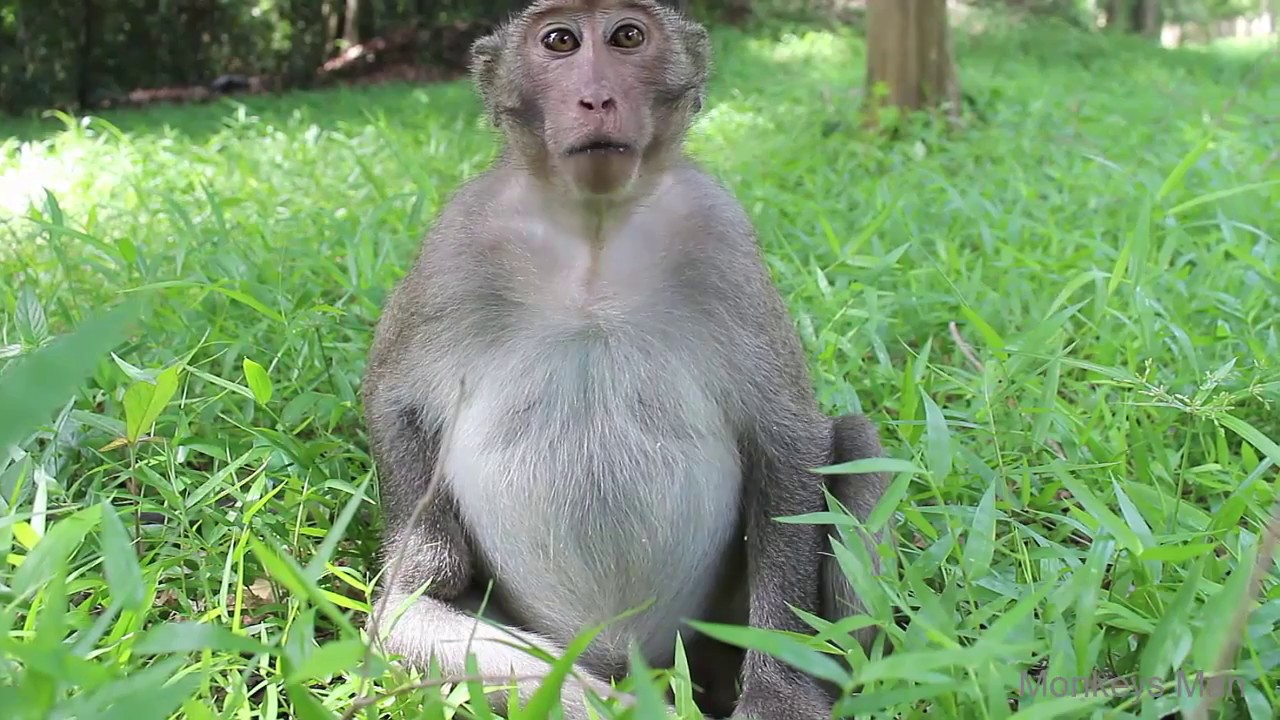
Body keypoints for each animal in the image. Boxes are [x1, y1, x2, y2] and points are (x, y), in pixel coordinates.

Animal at [360, 1, 889, 718]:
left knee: (857, 440)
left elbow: (789, 434)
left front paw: (779, 692)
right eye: (559, 41)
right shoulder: (456, 242)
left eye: (628, 37)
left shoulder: (722, 234)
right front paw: (430, 560)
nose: (597, 97)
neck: (594, 230)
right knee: (408, 624)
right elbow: (393, 402)